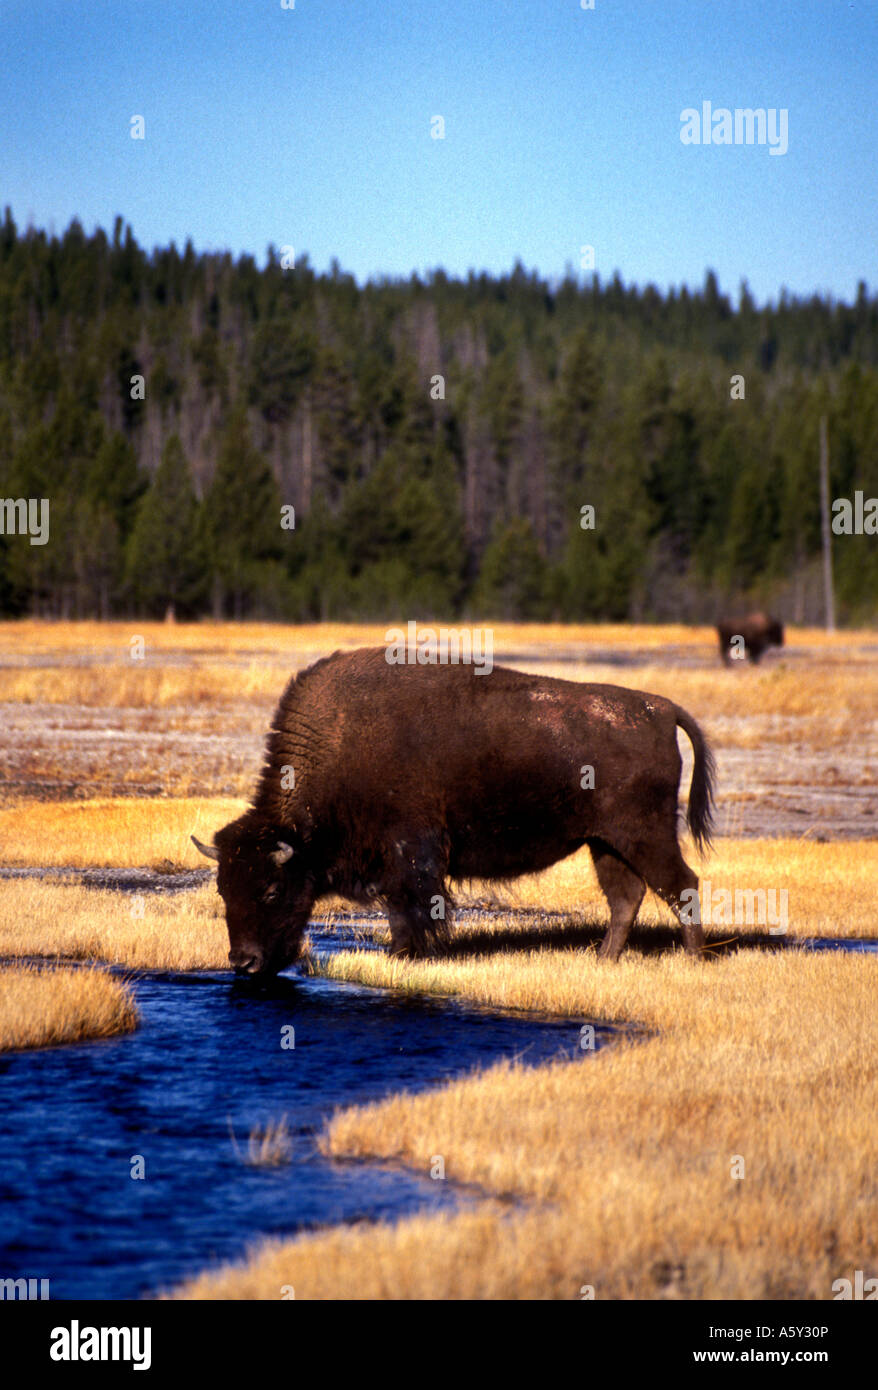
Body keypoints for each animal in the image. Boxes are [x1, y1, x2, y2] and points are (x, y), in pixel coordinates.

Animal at [193, 647, 715, 976]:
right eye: (224, 889)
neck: (341, 746)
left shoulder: (410, 857)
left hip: (645, 835)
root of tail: (660, 710)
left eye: (272, 889)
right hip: (605, 843)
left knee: (681, 885)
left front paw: (404, 956)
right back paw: (603, 960)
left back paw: (692, 961)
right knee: (627, 897)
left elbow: (412, 910)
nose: (243, 963)